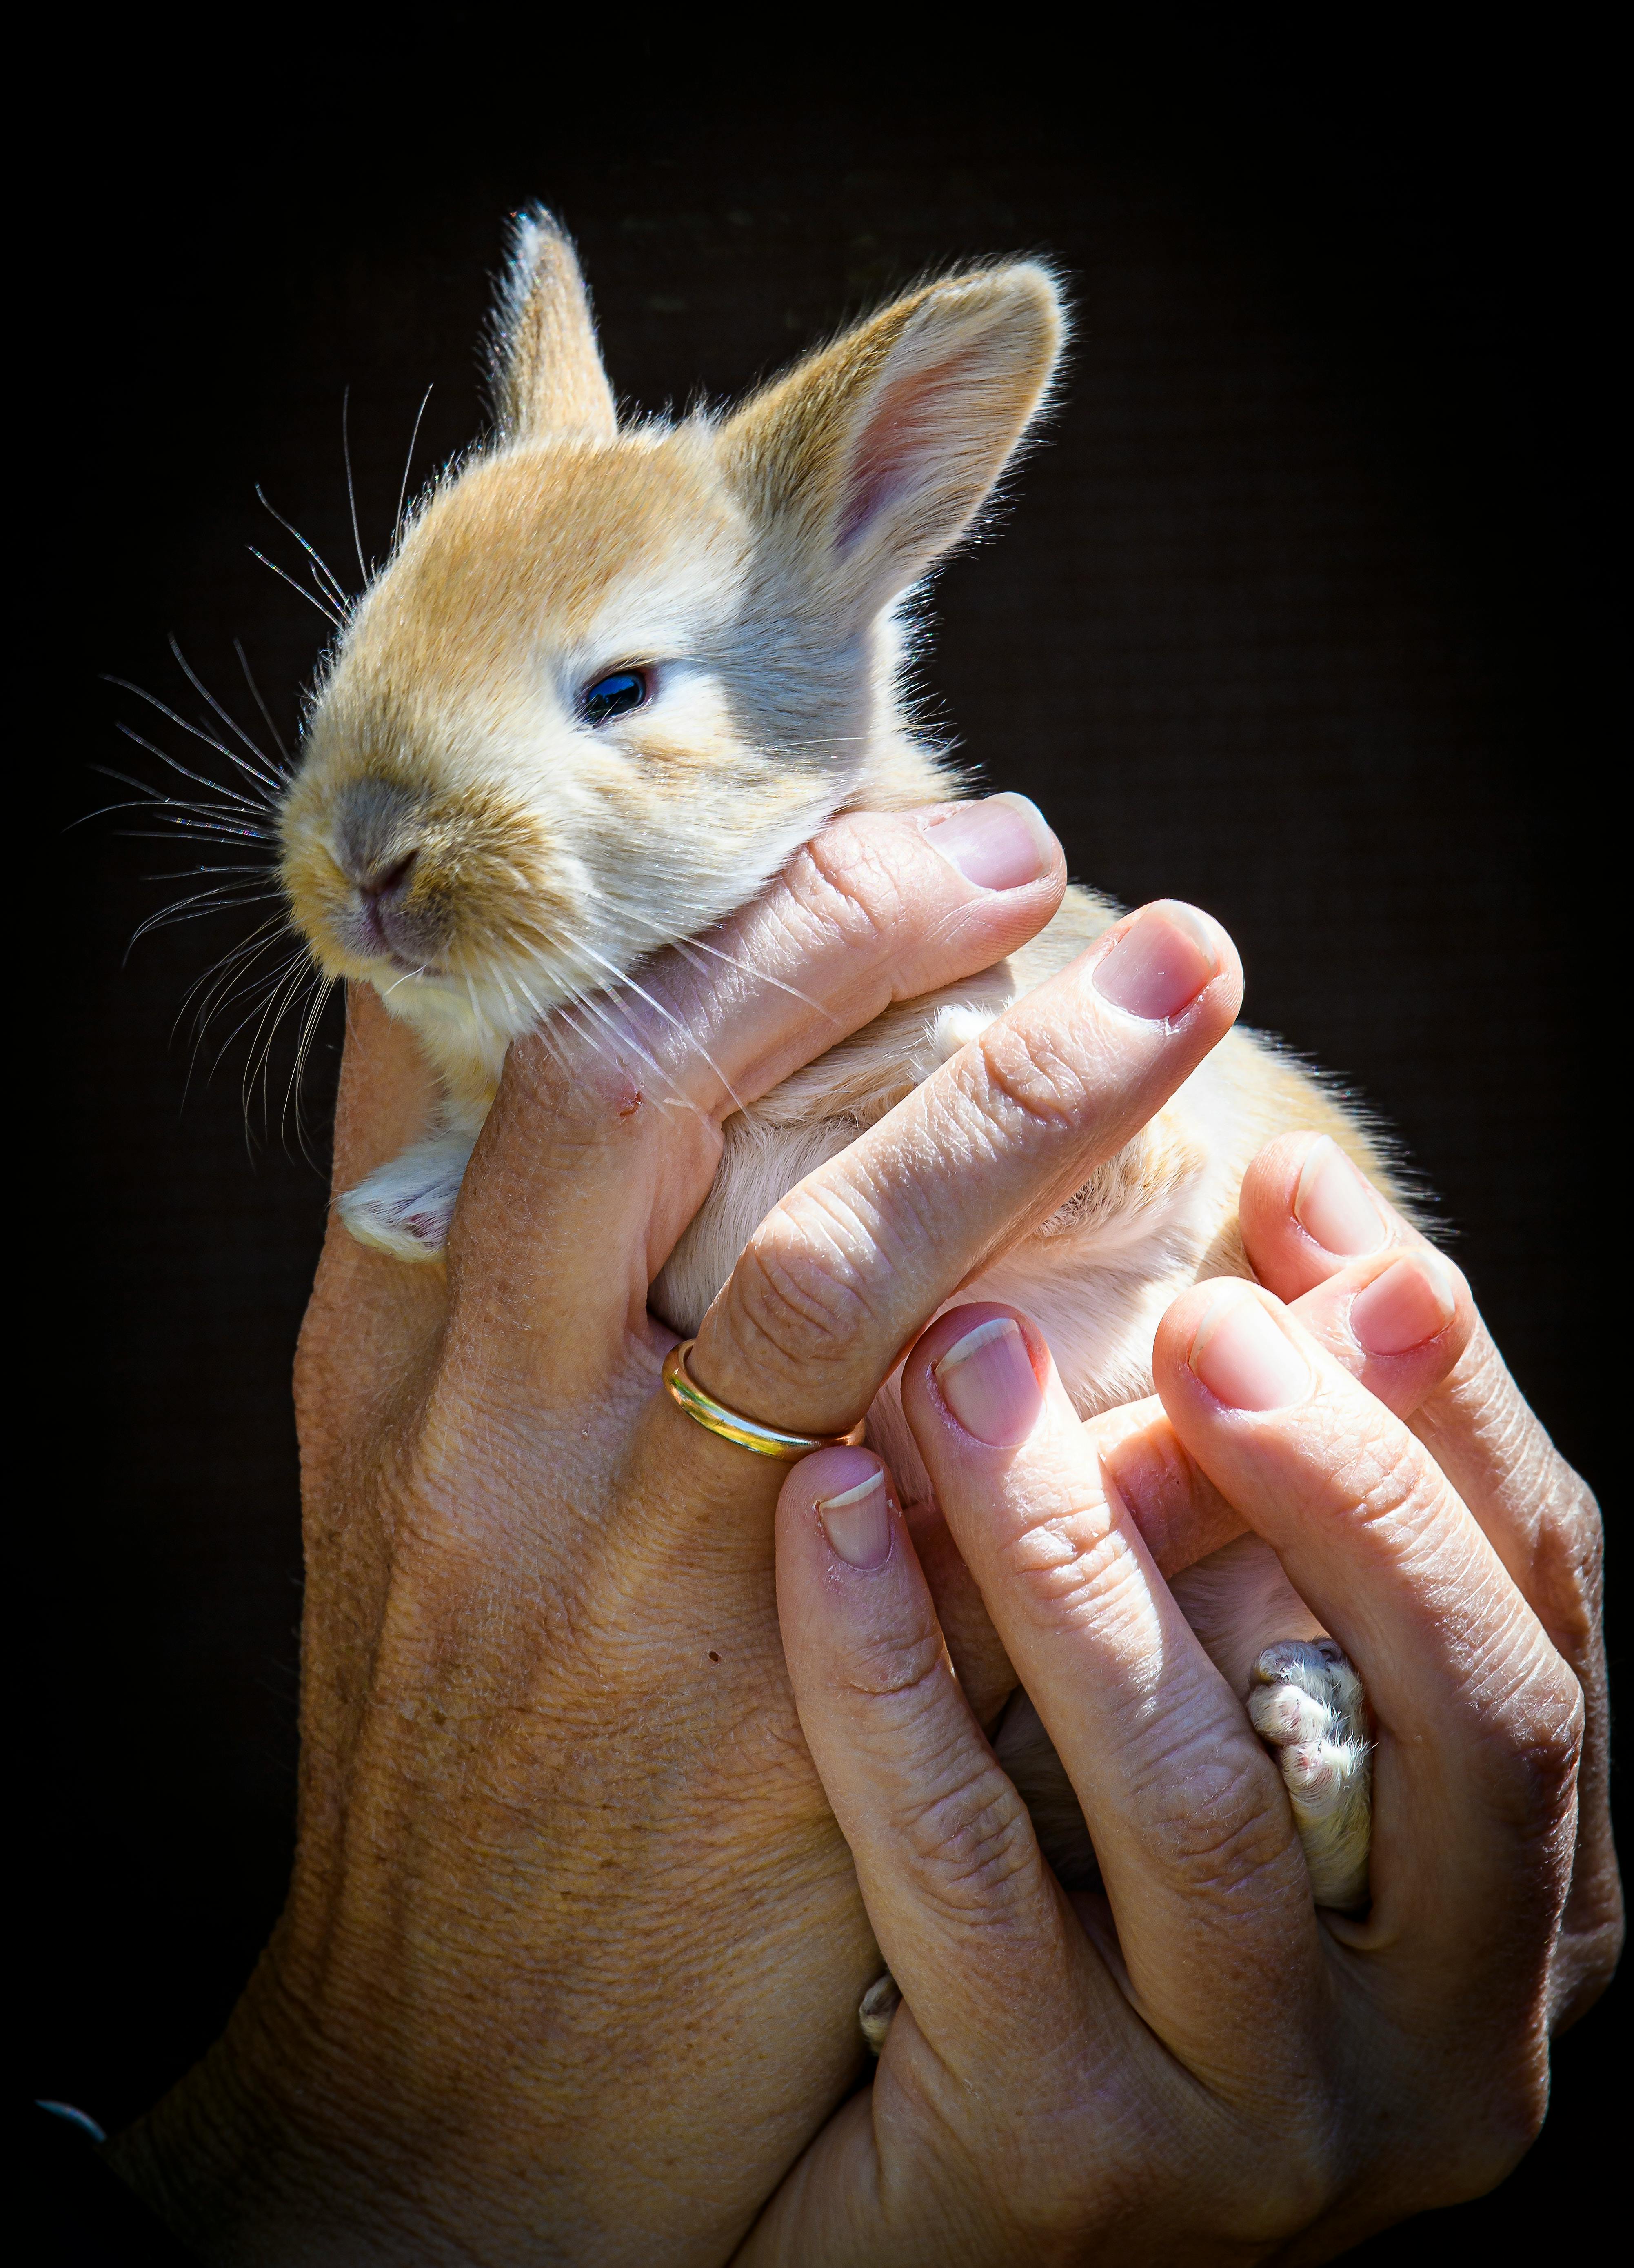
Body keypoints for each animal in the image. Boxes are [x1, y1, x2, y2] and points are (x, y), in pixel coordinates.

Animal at [278, 211, 1380, 1958]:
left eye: (621, 691)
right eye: (358, 636)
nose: (372, 854)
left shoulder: (1148, 1175)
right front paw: (415, 1205)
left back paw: (1313, 1733)